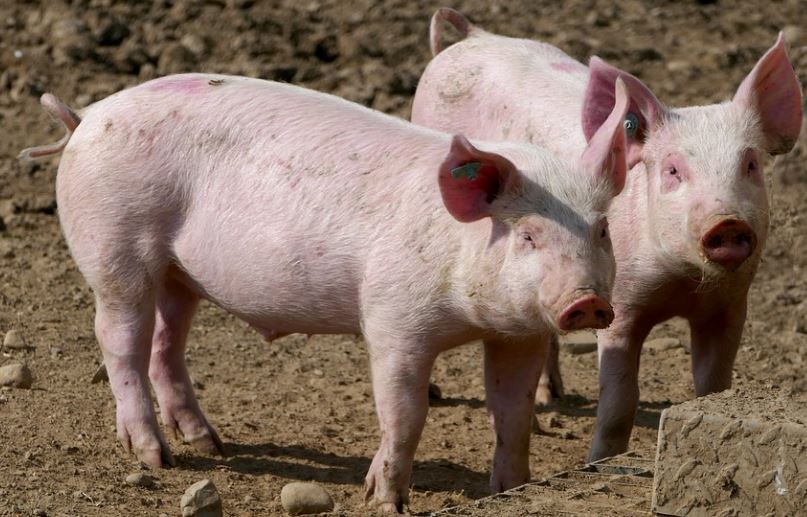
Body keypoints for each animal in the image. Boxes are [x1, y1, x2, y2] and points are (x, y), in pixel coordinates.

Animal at [22, 73, 631, 511]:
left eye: (601, 230)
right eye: (528, 235)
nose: (586, 302)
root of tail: (86, 117)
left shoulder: (517, 333)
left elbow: (511, 410)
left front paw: (509, 490)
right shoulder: (392, 318)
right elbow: (405, 411)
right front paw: (384, 501)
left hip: (179, 274)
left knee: (165, 343)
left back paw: (209, 443)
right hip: (116, 249)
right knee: (119, 339)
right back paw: (158, 458)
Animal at [412, 8, 803, 462]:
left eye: (751, 164)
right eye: (672, 170)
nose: (727, 222)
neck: (683, 281)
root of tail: (473, 37)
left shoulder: (730, 306)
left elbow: (713, 387)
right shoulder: (622, 304)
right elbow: (619, 400)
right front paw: (598, 460)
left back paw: (551, 398)